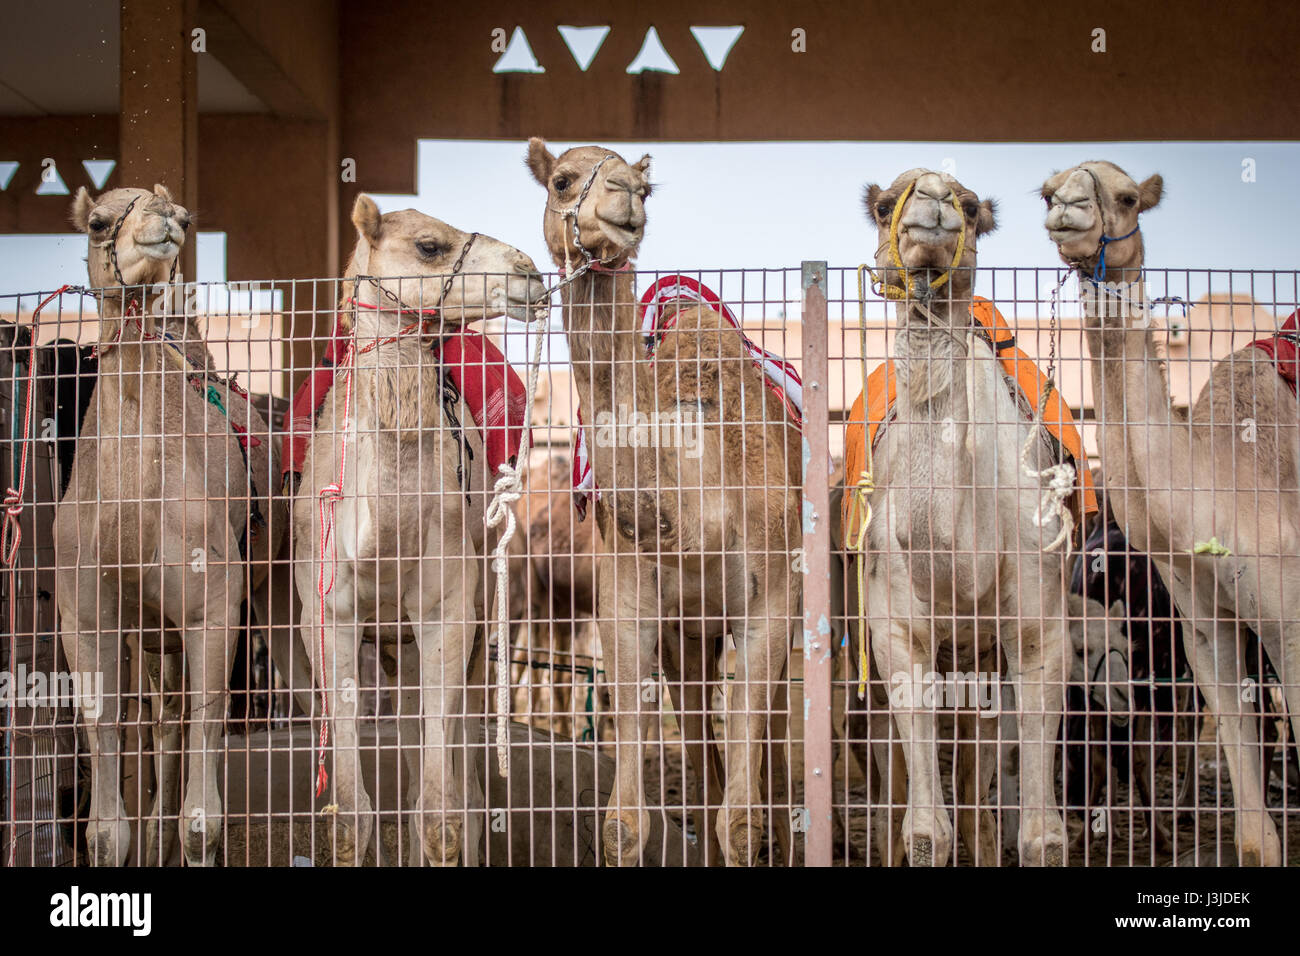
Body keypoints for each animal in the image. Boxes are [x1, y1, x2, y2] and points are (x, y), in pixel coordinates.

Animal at [54, 185, 290, 866]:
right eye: (98, 221)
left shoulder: (212, 605)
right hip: (153, 635)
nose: (164, 223)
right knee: (164, 718)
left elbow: (203, 809)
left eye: (187, 218)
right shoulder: (86, 614)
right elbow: (105, 821)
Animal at [293, 195, 545, 866]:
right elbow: (350, 818)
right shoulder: (326, 611)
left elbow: (441, 816)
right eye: (429, 245)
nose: (531, 271)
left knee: (465, 787)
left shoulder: (448, 607)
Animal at [526, 140, 801, 866]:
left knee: (774, 737)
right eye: (562, 179)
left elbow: (743, 820)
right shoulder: (627, 606)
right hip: (689, 632)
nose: (622, 198)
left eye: (647, 189)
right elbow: (624, 823)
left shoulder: (767, 604)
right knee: (705, 742)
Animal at [851, 168, 1081, 866]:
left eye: (973, 206)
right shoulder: (895, 624)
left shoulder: (1038, 621)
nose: (931, 194)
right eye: (882, 205)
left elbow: (1042, 839)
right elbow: (926, 833)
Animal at [1042, 160, 1300, 865]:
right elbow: (1252, 836)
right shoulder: (1206, 624)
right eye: (1048, 190)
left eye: (1127, 196)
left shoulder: (1290, 611)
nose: (1067, 209)